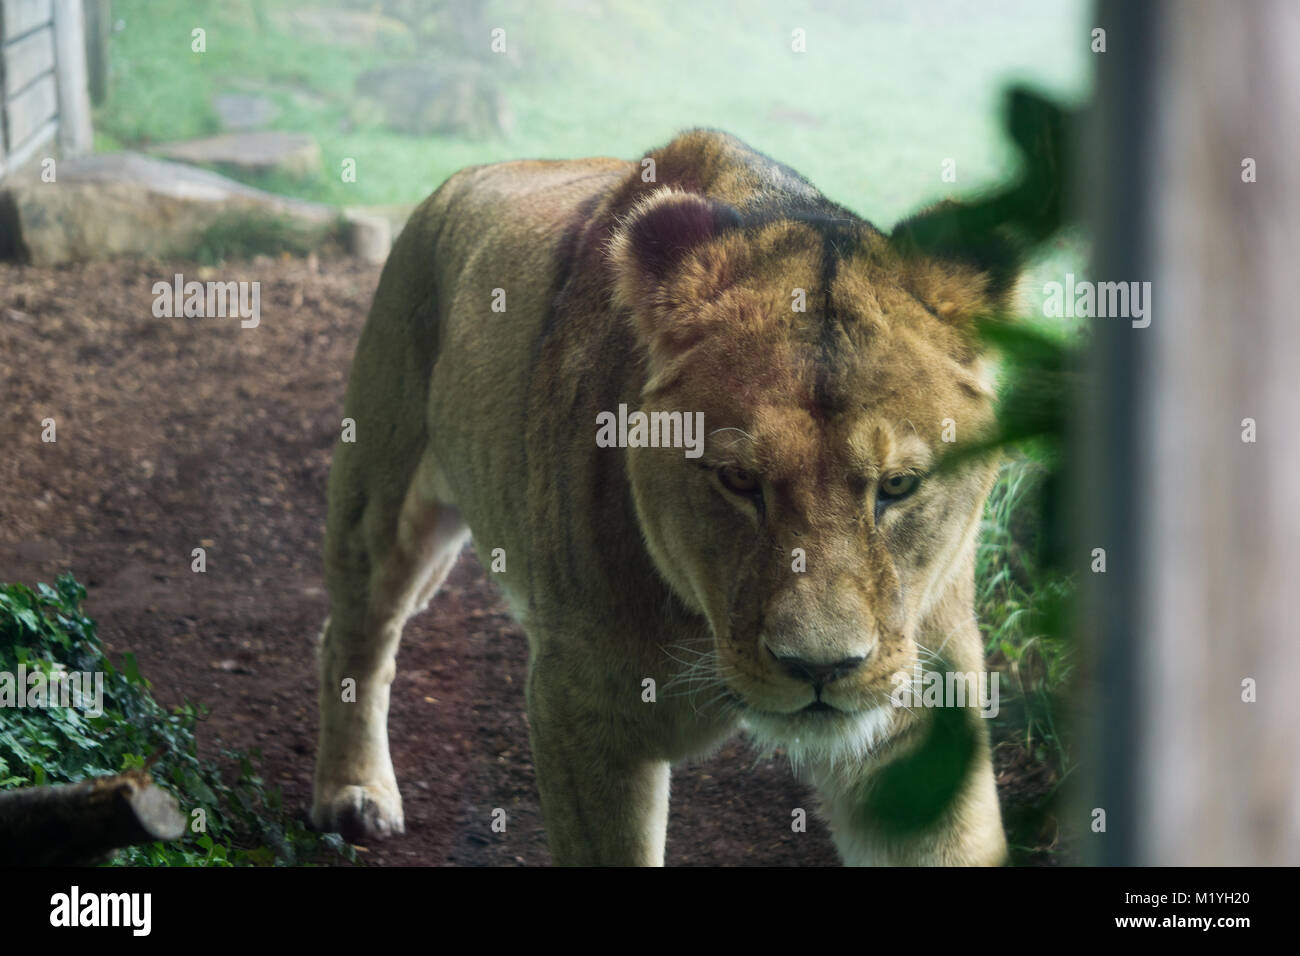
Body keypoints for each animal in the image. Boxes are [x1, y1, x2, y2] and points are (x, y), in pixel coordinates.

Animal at [311, 129, 1018, 865]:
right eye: (738, 480)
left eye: (898, 486)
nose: (819, 669)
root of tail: (457, 180)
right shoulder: (584, 708)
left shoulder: (924, 721)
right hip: (381, 502)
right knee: (356, 637)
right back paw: (353, 794)